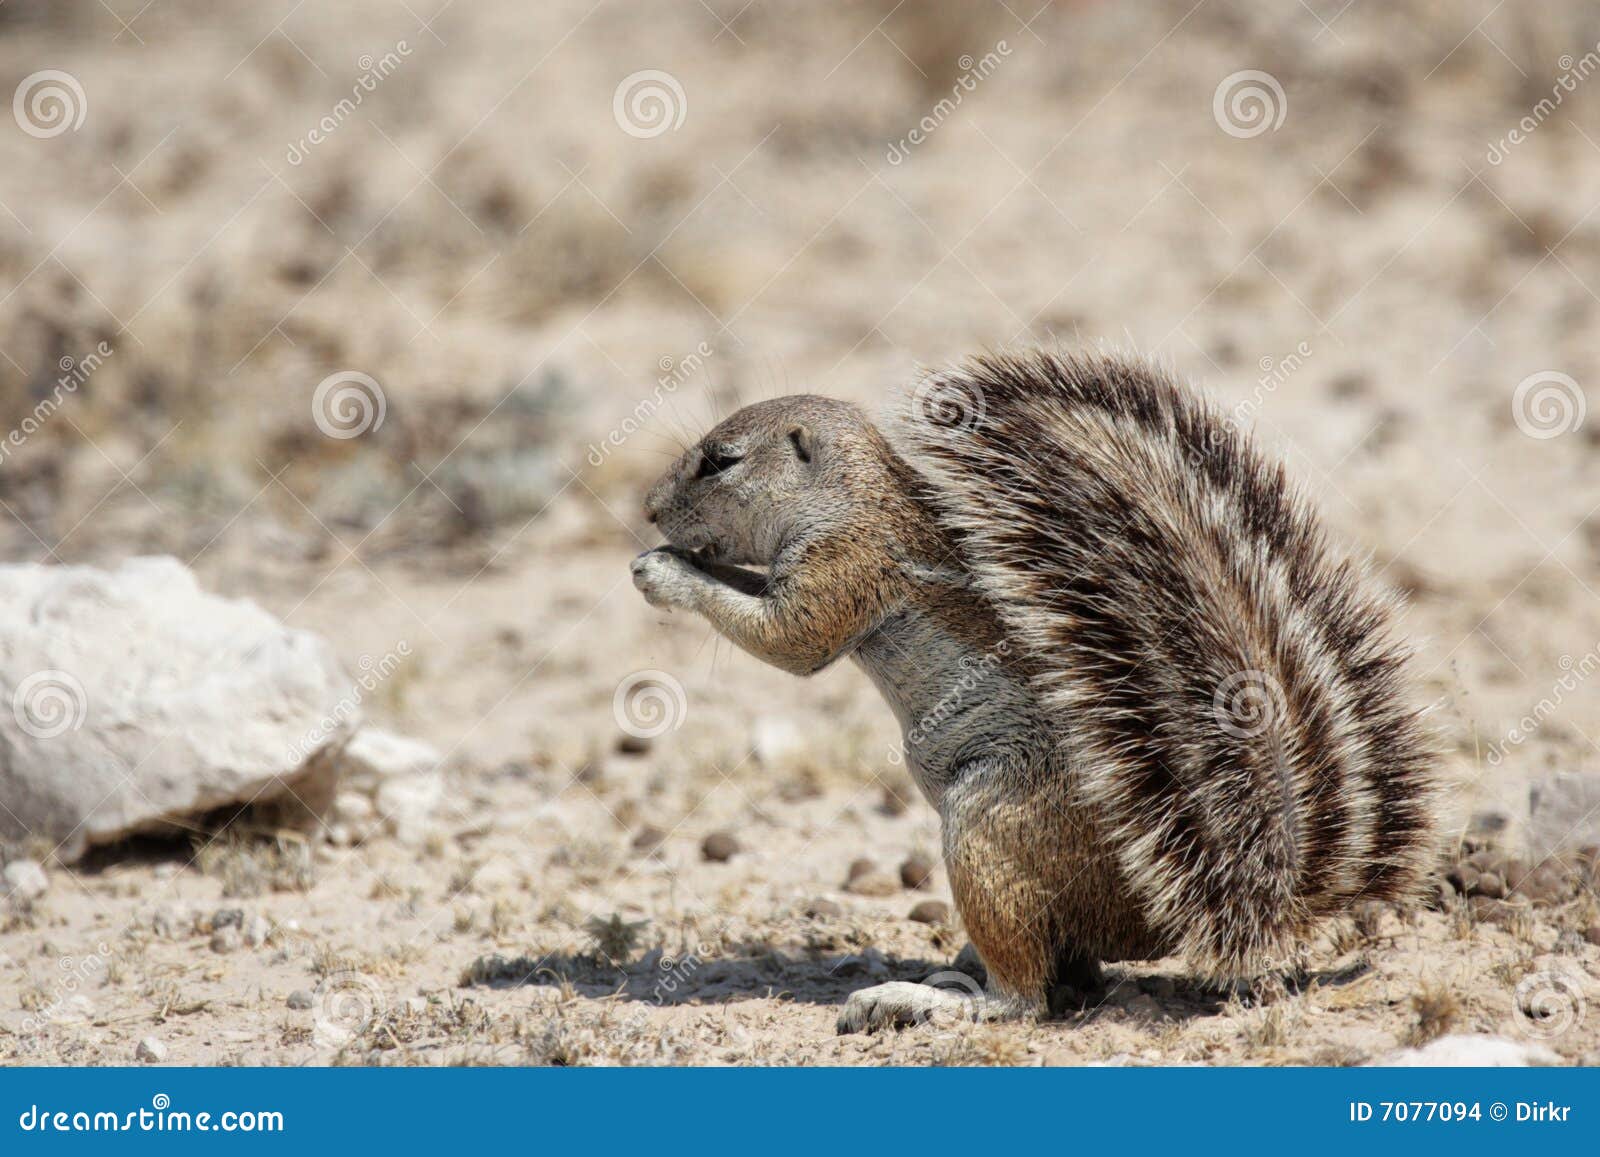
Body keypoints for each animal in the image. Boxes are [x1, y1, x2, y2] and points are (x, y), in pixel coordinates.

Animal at [630, 349, 1437, 1034]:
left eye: (721, 461)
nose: (649, 510)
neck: (852, 492)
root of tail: (1235, 891)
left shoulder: (845, 566)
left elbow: (789, 638)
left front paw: (663, 572)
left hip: (987, 822)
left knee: (1026, 997)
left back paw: (927, 999)